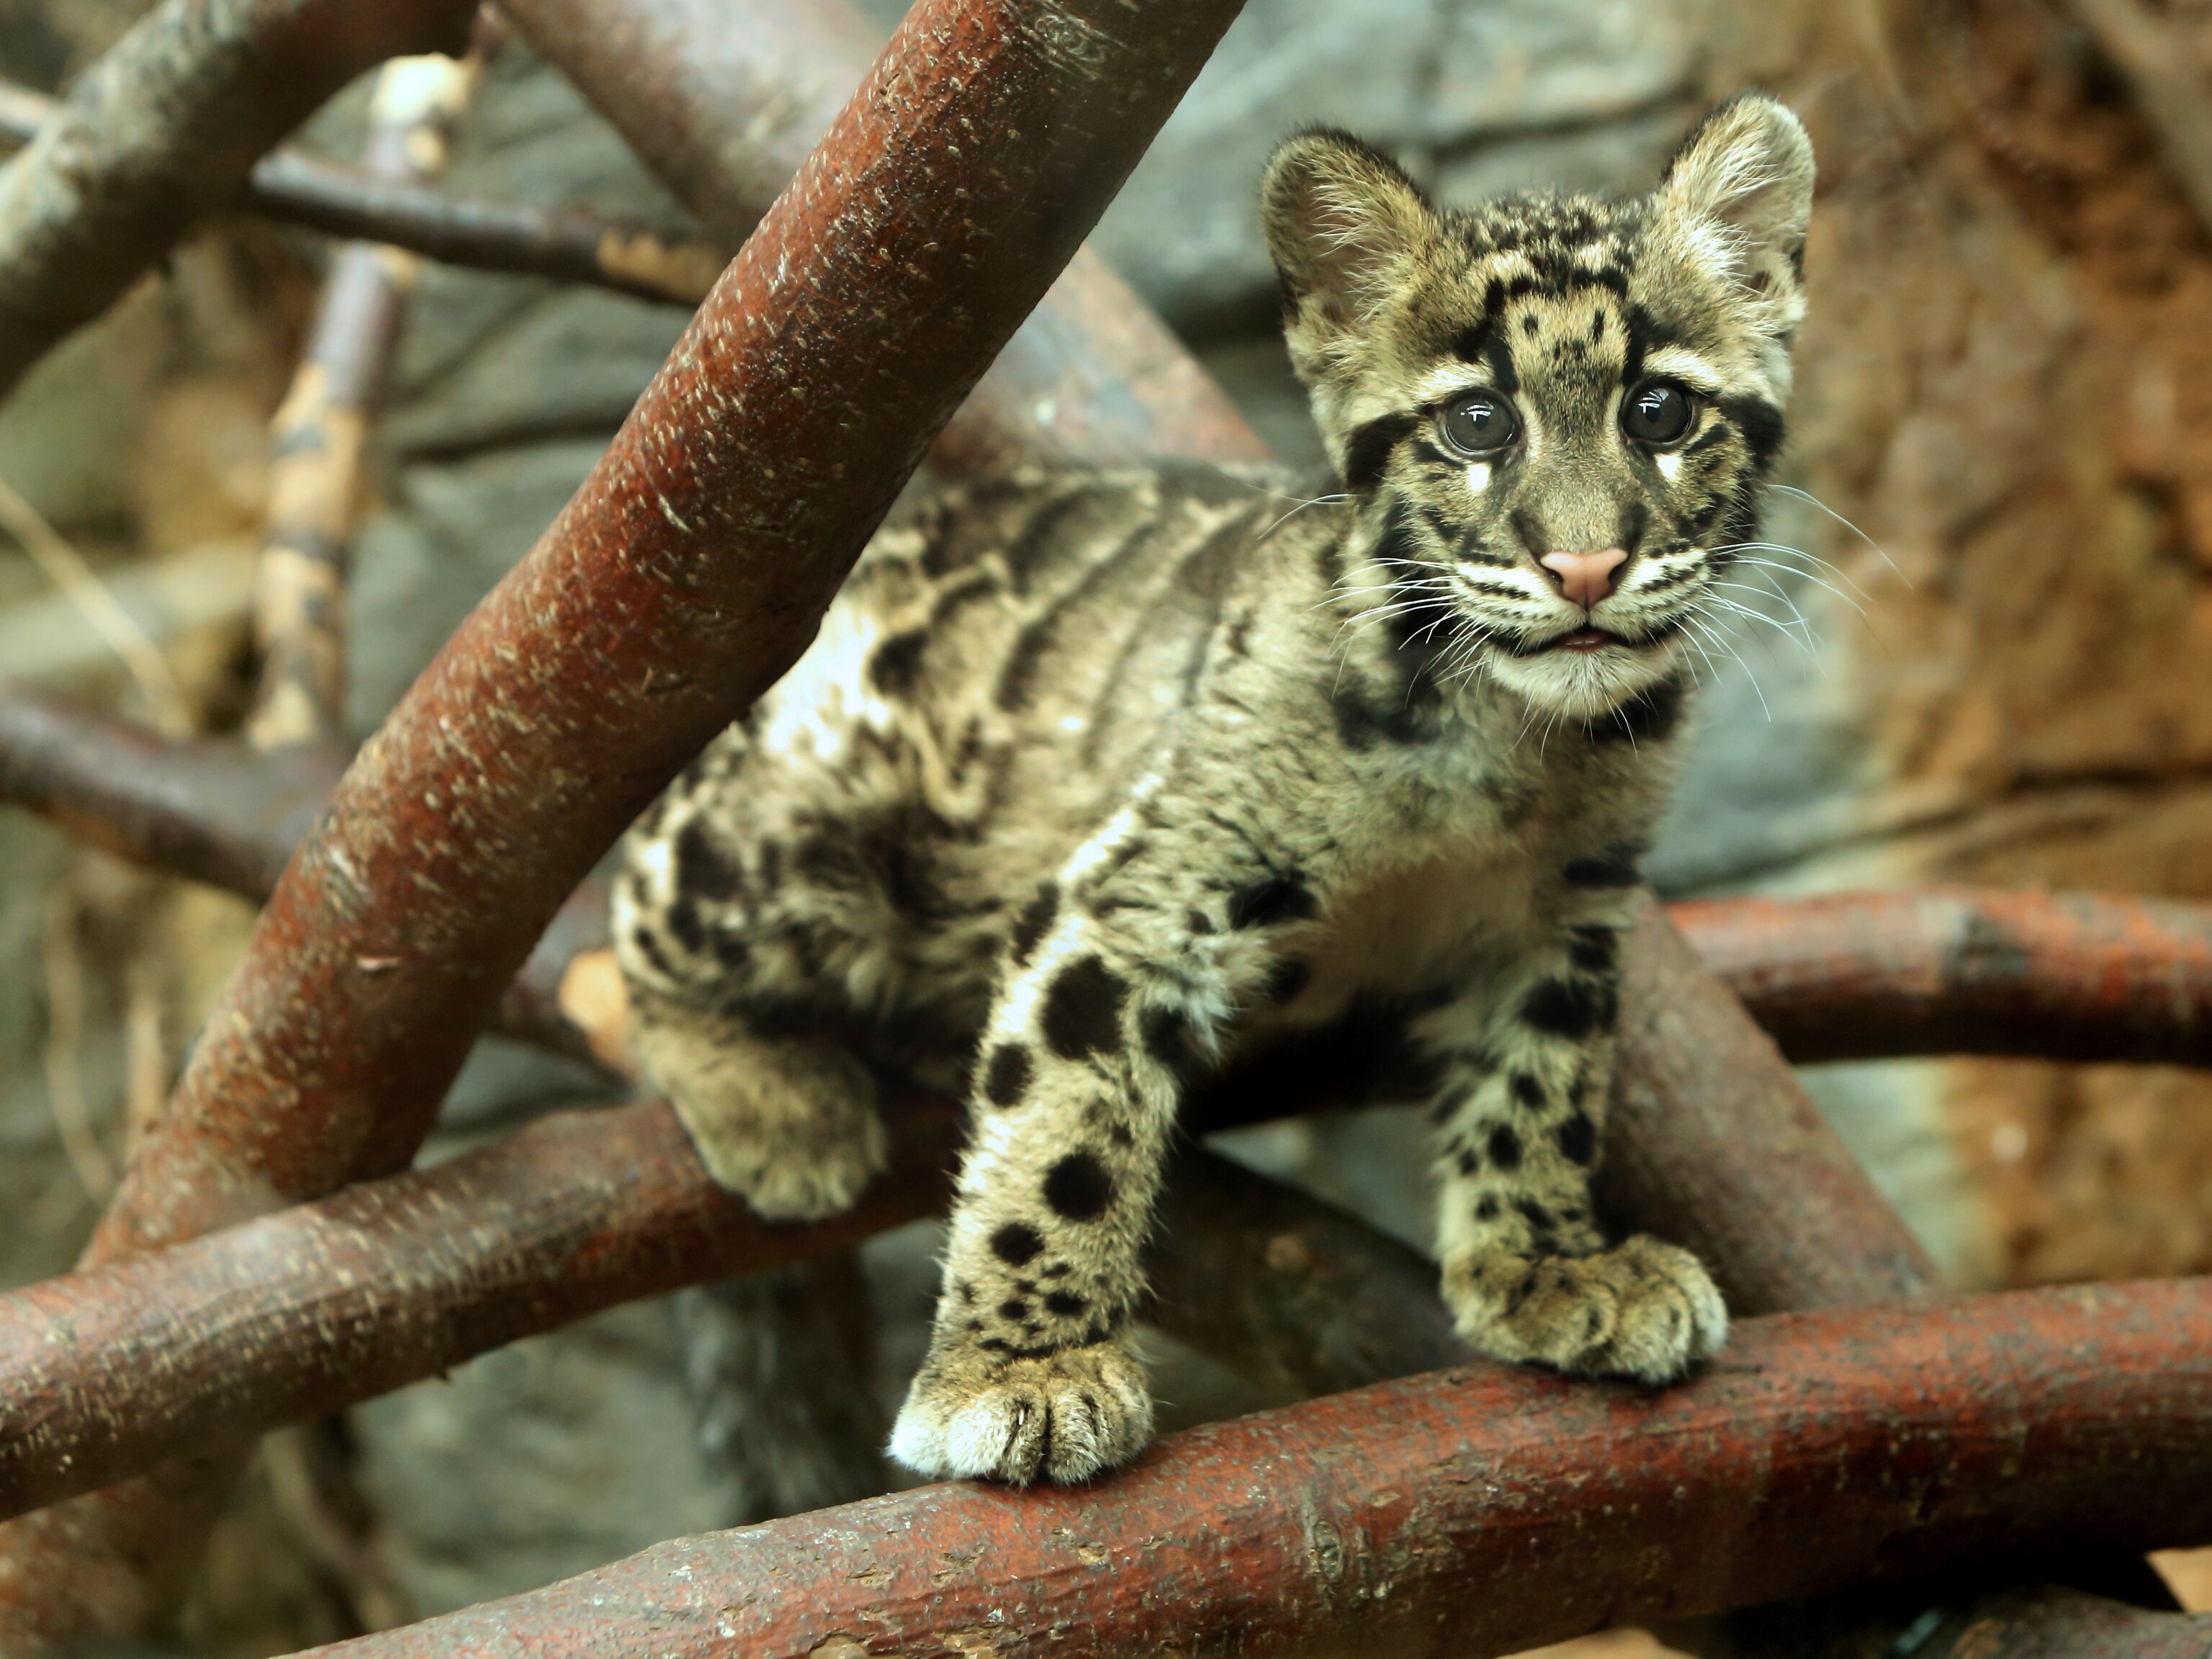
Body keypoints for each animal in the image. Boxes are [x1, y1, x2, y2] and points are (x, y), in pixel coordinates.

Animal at [612, 95, 1817, 1485]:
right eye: (1477, 424)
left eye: (1661, 411)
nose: (1583, 566)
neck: (1506, 741)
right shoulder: (1133, 896)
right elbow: (1062, 1135)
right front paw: (1021, 1371)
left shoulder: (1562, 917)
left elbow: (1541, 1090)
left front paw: (1550, 1263)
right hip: (805, 816)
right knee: (634, 914)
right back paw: (778, 1107)